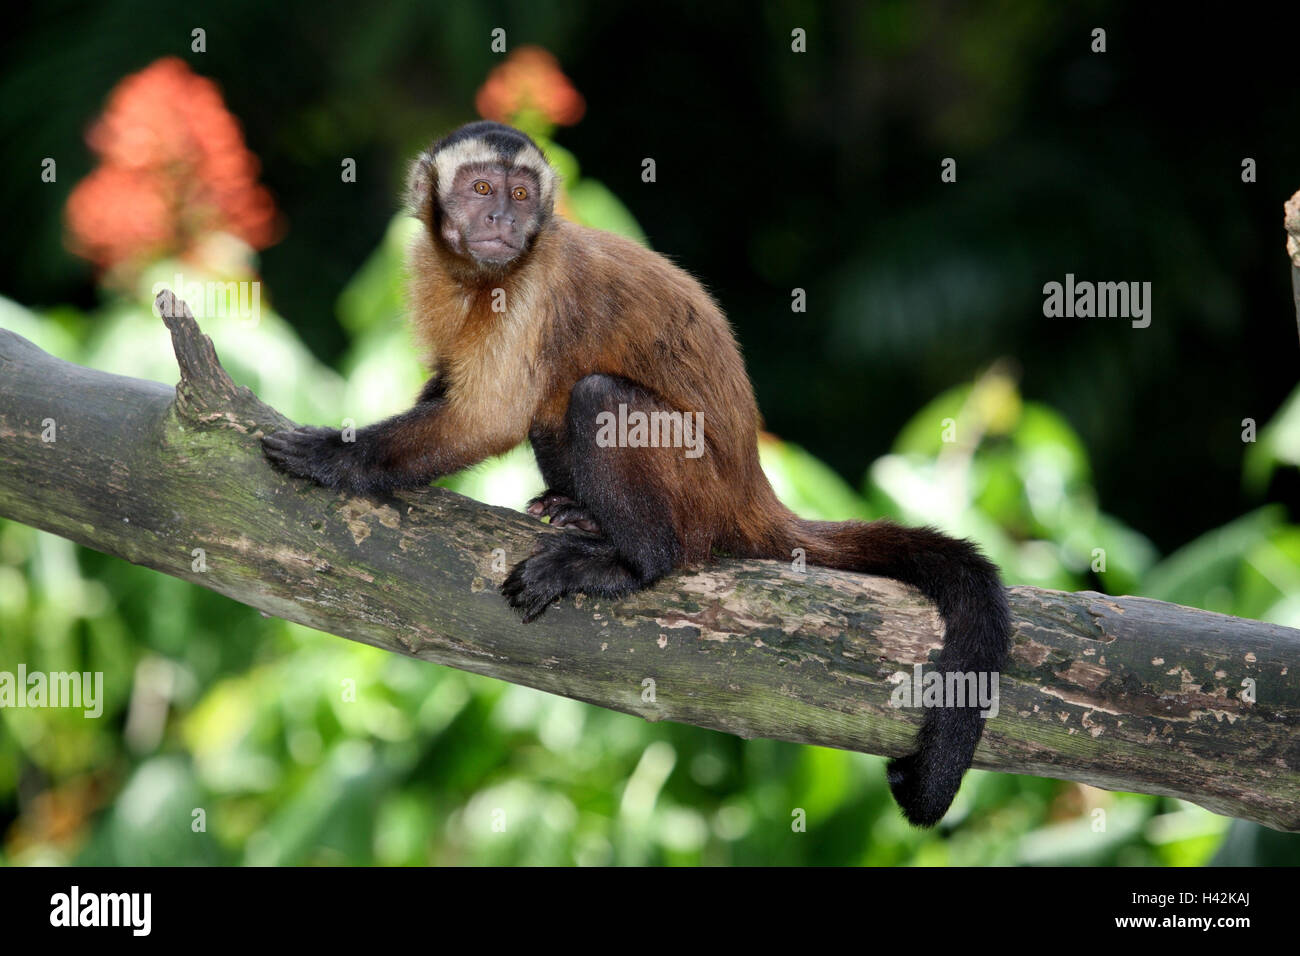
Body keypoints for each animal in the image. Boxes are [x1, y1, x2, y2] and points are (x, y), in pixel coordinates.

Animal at [262, 120, 1011, 827]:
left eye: (521, 195)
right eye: (480, 190)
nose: (502, 218)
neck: (482, 277)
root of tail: (751, 490)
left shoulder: (533, 287)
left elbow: (486, 419)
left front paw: (334, 458)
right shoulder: (429, 266)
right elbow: (462, 392)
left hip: (698, 488)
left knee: (595, 397)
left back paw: (632, 560)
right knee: (557, 403)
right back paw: (582, 513)